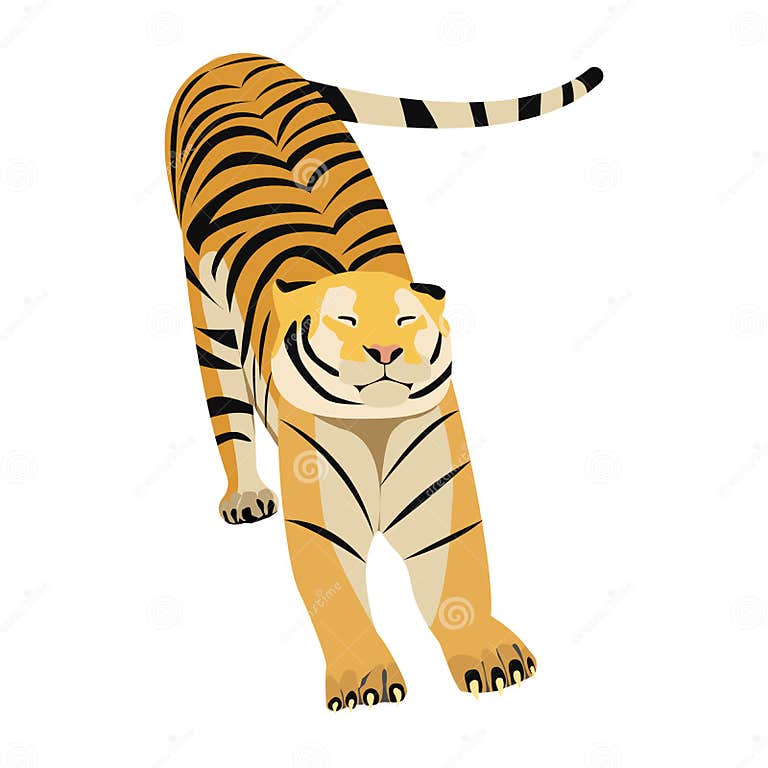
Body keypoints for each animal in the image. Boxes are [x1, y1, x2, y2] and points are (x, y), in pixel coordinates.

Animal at [165, 53, 602, 710]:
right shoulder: (319, 519)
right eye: (343, 321)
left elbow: (458, 581)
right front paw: (364, 678)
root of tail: (233, 55)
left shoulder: (442, 496)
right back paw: (246, 496)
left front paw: (492, 656)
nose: (385, 351)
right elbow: (339, 599)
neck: (377, 424)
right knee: (228, 413)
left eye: (405, 321)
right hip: (206, 314)